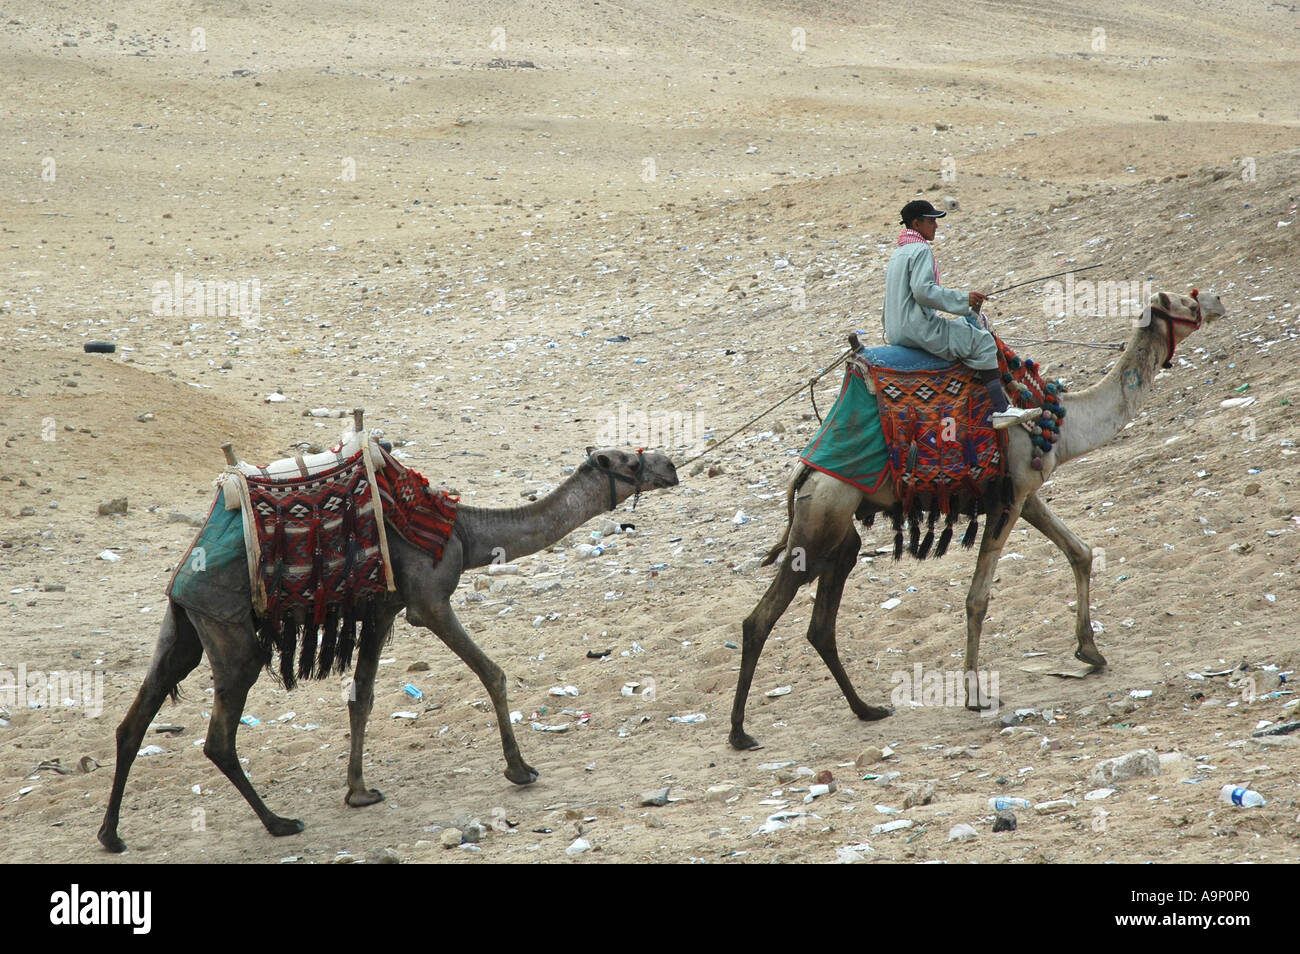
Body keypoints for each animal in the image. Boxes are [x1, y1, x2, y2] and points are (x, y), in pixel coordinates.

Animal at [98, 447, 678, 852]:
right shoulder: (427, 599)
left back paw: (111, 835)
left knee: (135, 719)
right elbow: (492, 672)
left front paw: (358, 791)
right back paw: (279, 823)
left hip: (184, 629)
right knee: (219, 735)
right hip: (232, 636)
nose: (671, 466)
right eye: (630, 460)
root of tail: (180, 577)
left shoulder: (382, 609)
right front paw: (521, 769)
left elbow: (362, 697)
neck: (464, 533)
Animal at [730, 290, 1226, 750]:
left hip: (838, 533)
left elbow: (1080, 552)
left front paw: (1091, 651)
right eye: (1184, 302)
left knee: (821, 624)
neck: (1060, 421)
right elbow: (977, 598)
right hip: (821, 519)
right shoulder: (1010, 497)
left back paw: (867, 709)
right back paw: (739, 733)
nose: (1216, 301)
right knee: (761, 618)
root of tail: (804, 473)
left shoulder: (1024, 492)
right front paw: (974, 694)